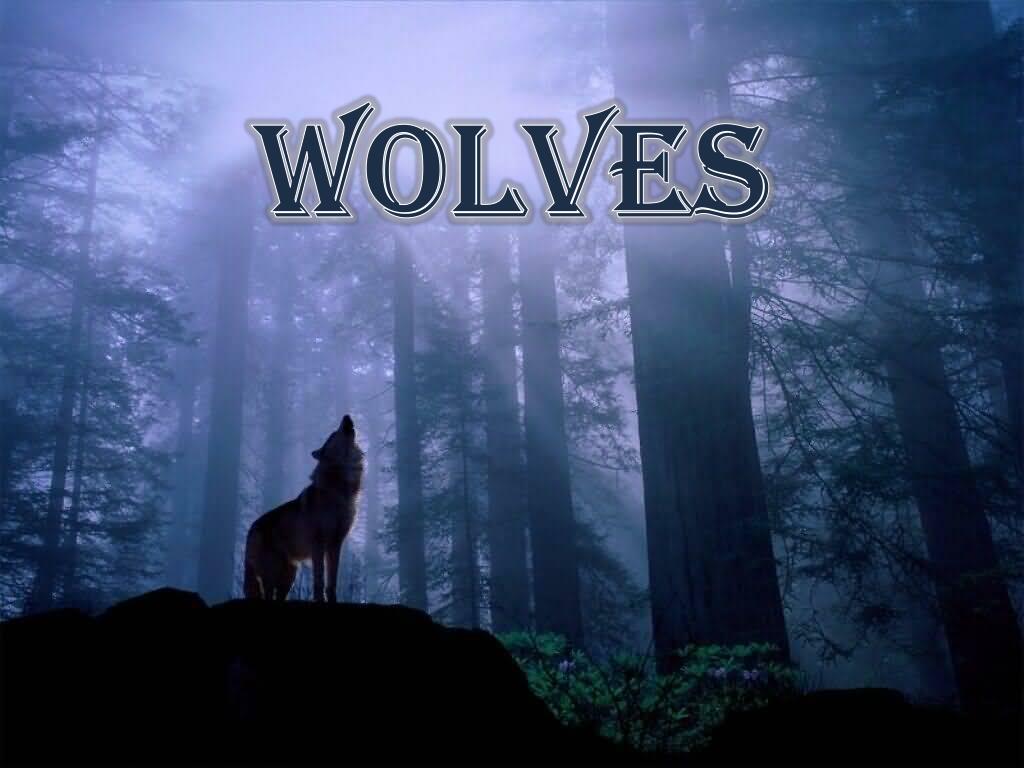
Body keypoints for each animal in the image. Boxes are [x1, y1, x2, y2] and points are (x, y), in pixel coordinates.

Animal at [243, 415, 364, 602]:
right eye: (333, 434)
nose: (346, 416)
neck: (339, 489)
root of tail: (251, 529)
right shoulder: (318, 545)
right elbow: (319, 580)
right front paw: (320, 600)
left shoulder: (335, 544)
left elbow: (332, 581)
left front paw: (332, 600)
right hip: (272, 574)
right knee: (268, 595)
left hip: (289, 575)